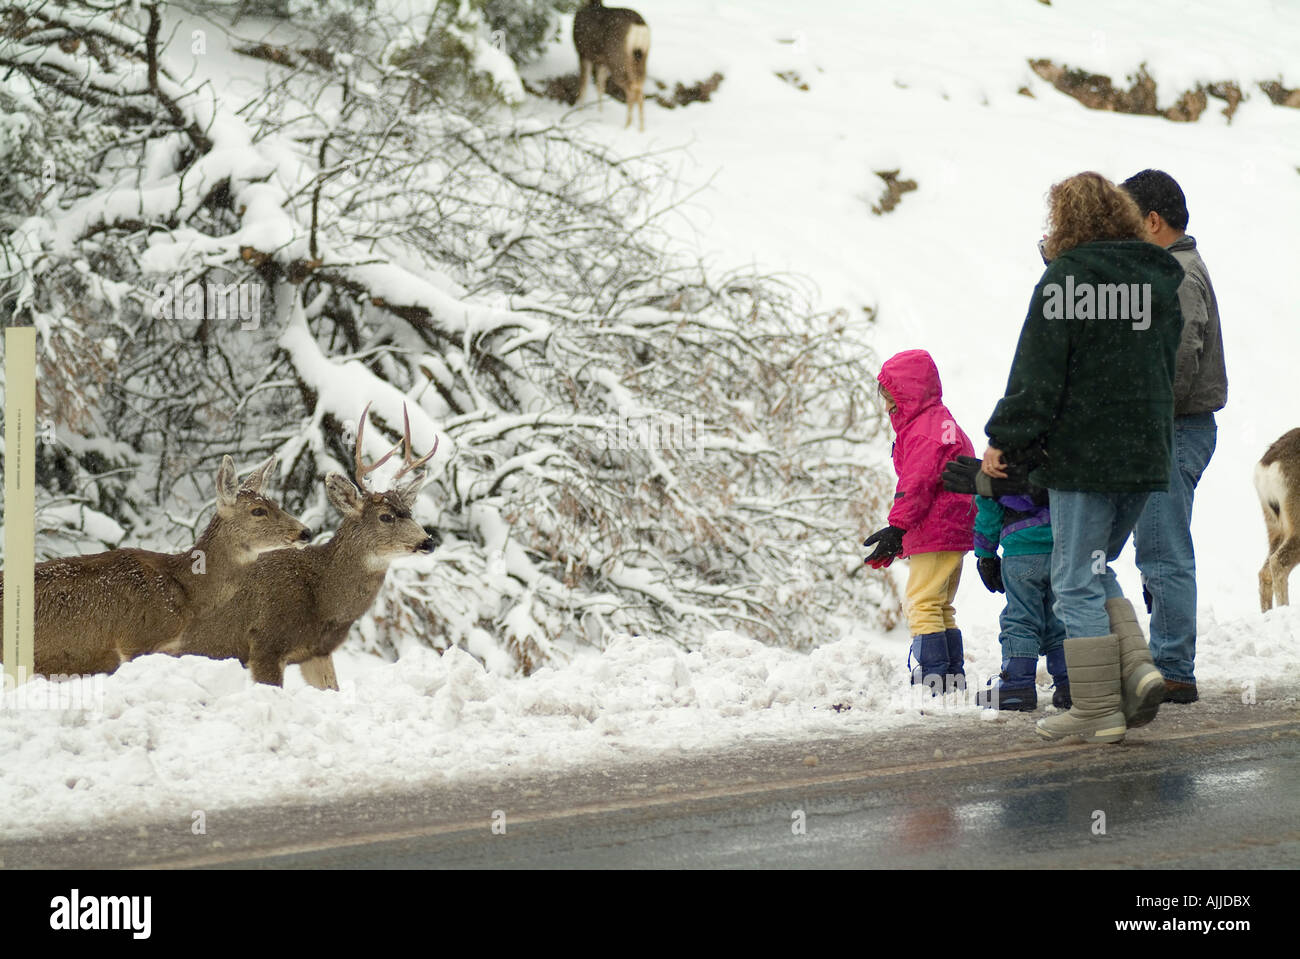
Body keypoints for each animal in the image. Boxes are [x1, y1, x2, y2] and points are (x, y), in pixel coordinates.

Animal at [175, 404, 438, 688]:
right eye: (386, 516)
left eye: (410, 512)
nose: (428, 541)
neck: (322, 598)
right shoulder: (266, 644)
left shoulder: (316, 652)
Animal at [574, 0, 651, 131]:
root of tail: (638, 28)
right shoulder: (602, 62)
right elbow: (600, 86)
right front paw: (600, 113)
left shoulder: (583, 53)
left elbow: (583, 85)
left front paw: (580, 112)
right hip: (640, 60)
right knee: (640, 90)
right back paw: (641, 129)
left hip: (617, 60)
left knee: (631, 91)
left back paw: (627, 125)